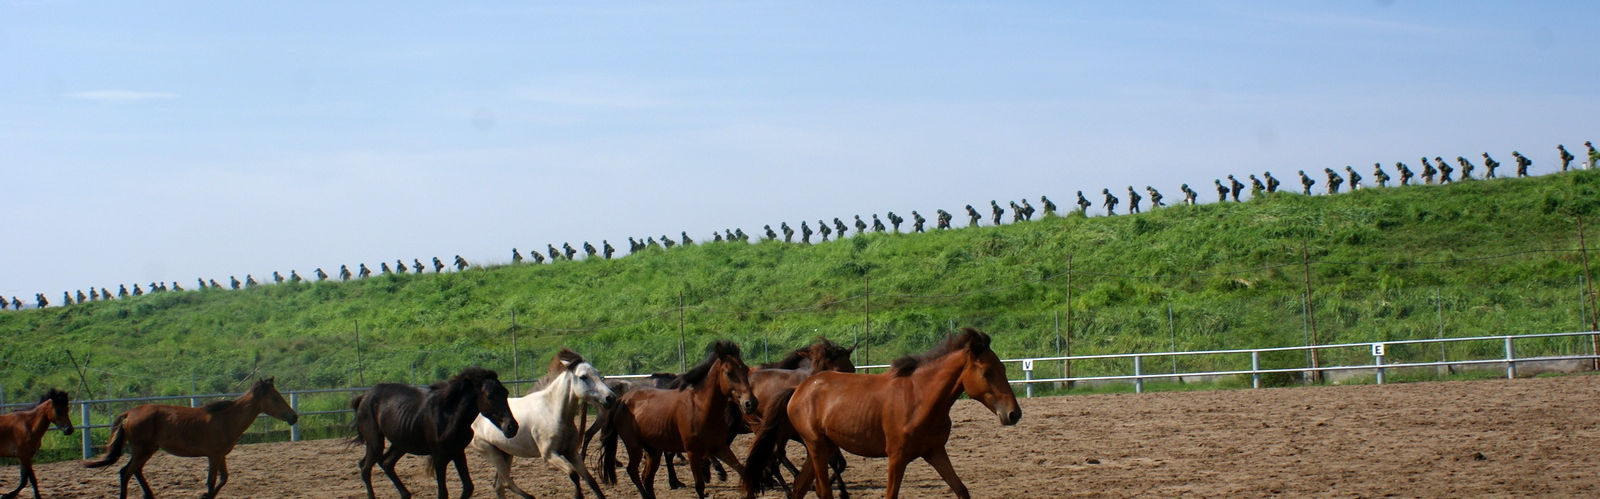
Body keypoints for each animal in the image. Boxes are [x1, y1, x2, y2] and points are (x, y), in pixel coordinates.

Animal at [82, 378, 297, 499]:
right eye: (275, 398)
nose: (294, 417)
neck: (227, 418)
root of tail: (129, 413)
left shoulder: (220, 455)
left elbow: (223, 478)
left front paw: (204, 495)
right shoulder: (213, 455)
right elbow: (211, 481)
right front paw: (205, 494)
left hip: (146, 450)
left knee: (135, 471)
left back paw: (149, 495)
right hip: (142, 450)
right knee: (126, 472)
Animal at [352, 366, 519, 499]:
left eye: (505, 393)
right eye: (490, 396)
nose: (512, 427)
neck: (449, 416)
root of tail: (365, 396)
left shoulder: (458, 452)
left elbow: (468, 488)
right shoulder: (439, 457)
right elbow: (443, 493)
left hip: (401, 443)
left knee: (386, 463)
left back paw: (406, 494)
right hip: (375, 442)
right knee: (365, 468)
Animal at [468, 349, 618, 499]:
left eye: (597, 373)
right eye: (583, 377)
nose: (610, 397)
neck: (552, 412)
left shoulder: (571, 452)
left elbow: (590, 480)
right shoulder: (549, 454)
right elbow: (573, 474)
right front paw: (578, 496)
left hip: (505, 453)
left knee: (499, 486)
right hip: (492, 453)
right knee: (507, 483)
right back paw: (529, 496)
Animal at [601, 340, 758, 499]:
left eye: (745, 370)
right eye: (729, 373)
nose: (750, 403)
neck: (701, 408)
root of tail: (622, 400)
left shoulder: (720, 447)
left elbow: (742, 471)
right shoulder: (692, 452)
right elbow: (699, 486)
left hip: (653, 450)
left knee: (647, 478)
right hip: (634, 446)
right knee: (633, 471)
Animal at [744, 328, 1021, 499]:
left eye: (1004, 369)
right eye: (986, 372)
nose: (1014, 414)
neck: (920, 398)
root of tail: (799, 388)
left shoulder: (935, 452)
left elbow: (961, 490)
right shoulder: (897, 457)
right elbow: (891, 494)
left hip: (822, 448)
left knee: (802, 487)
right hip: (816, 446)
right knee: (821, 490)